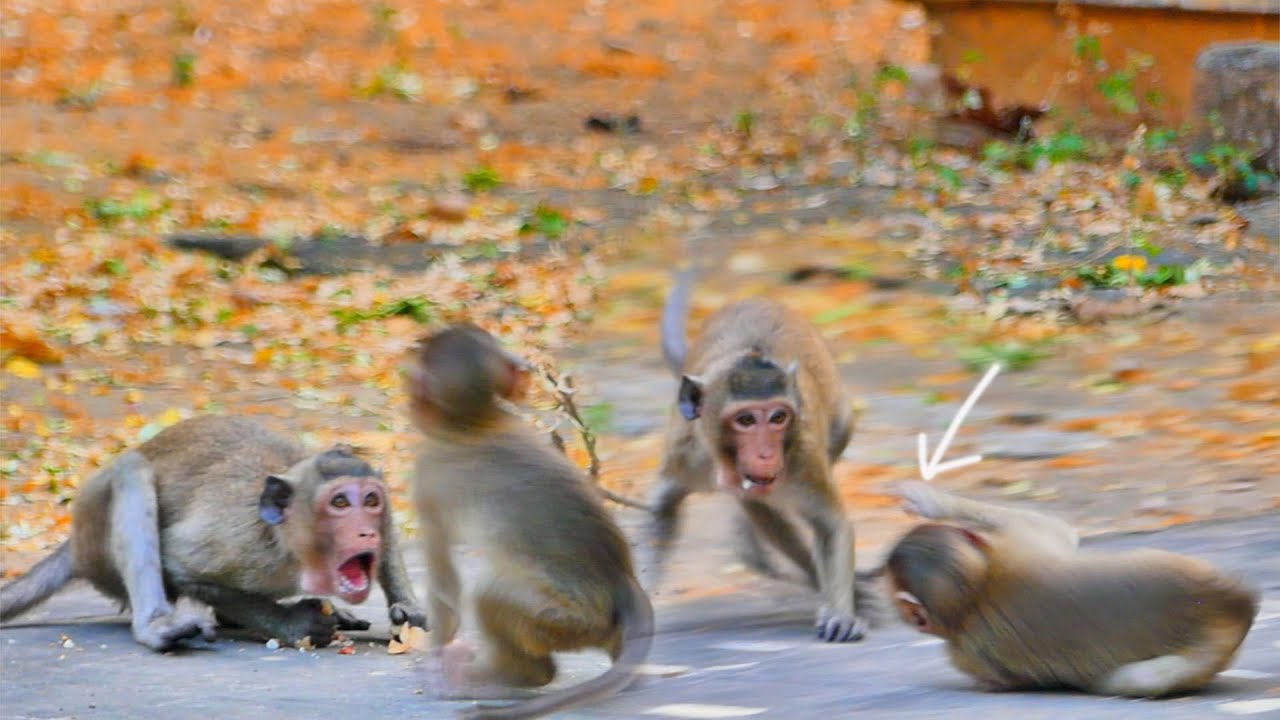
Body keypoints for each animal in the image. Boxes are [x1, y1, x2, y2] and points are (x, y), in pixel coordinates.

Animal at [0, 416, 426, 651]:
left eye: (371, 500)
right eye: (339, 503)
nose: (366, 534)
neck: (292, 546)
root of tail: (75, 545)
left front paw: (408, 608)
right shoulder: (240, 544)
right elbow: (179, 564)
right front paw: (293, 624)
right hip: (96, 527)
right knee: (133, 472)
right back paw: (155, 626)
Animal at [405, 324, 653, 720]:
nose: (411, 404)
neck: (474, 423)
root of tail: (622, 582)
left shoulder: (426, 478)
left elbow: (445, 583)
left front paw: (435, 657)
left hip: (567, 621)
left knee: (490, 594)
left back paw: (510, 676)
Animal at [645, 268, 871, 642]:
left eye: (778, 417)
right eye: (746, 420)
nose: (766, 454)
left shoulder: (801, 455)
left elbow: (830, 524)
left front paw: (841, 610)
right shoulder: (686, 454)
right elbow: (663, 508)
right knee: (755, 507)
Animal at [886, 481, 1260, 697]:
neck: (978, 590)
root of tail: (1231, 606)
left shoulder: (964, 653)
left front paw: (930, 501)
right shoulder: (1019, 546)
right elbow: (1053, 529)